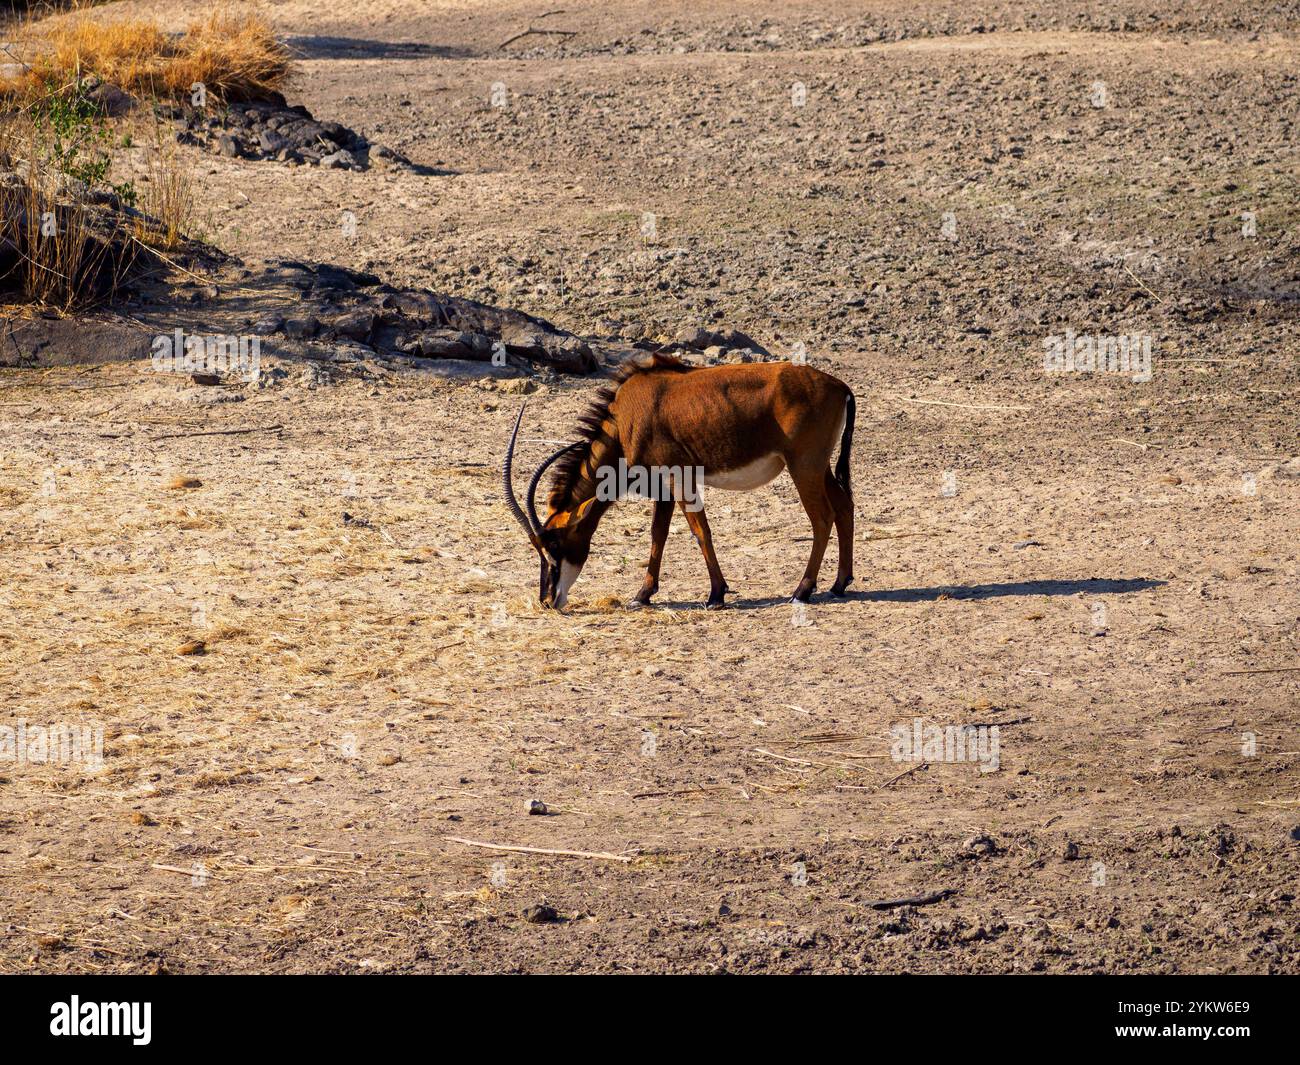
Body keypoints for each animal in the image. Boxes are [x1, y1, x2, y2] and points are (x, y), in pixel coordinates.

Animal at [503, 352, 856, 609]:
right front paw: (642, 595)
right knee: (844, 506)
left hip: (804, 466)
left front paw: (716, 595)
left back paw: (802, 590)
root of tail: (840, 386)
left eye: (555, 545)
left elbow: (700, 531)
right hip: (818, 467)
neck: (624, 420)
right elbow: (658, 534)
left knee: (823, 517)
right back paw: (840, 583)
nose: (548, 600)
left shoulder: (678, 476)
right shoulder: (663, 486)